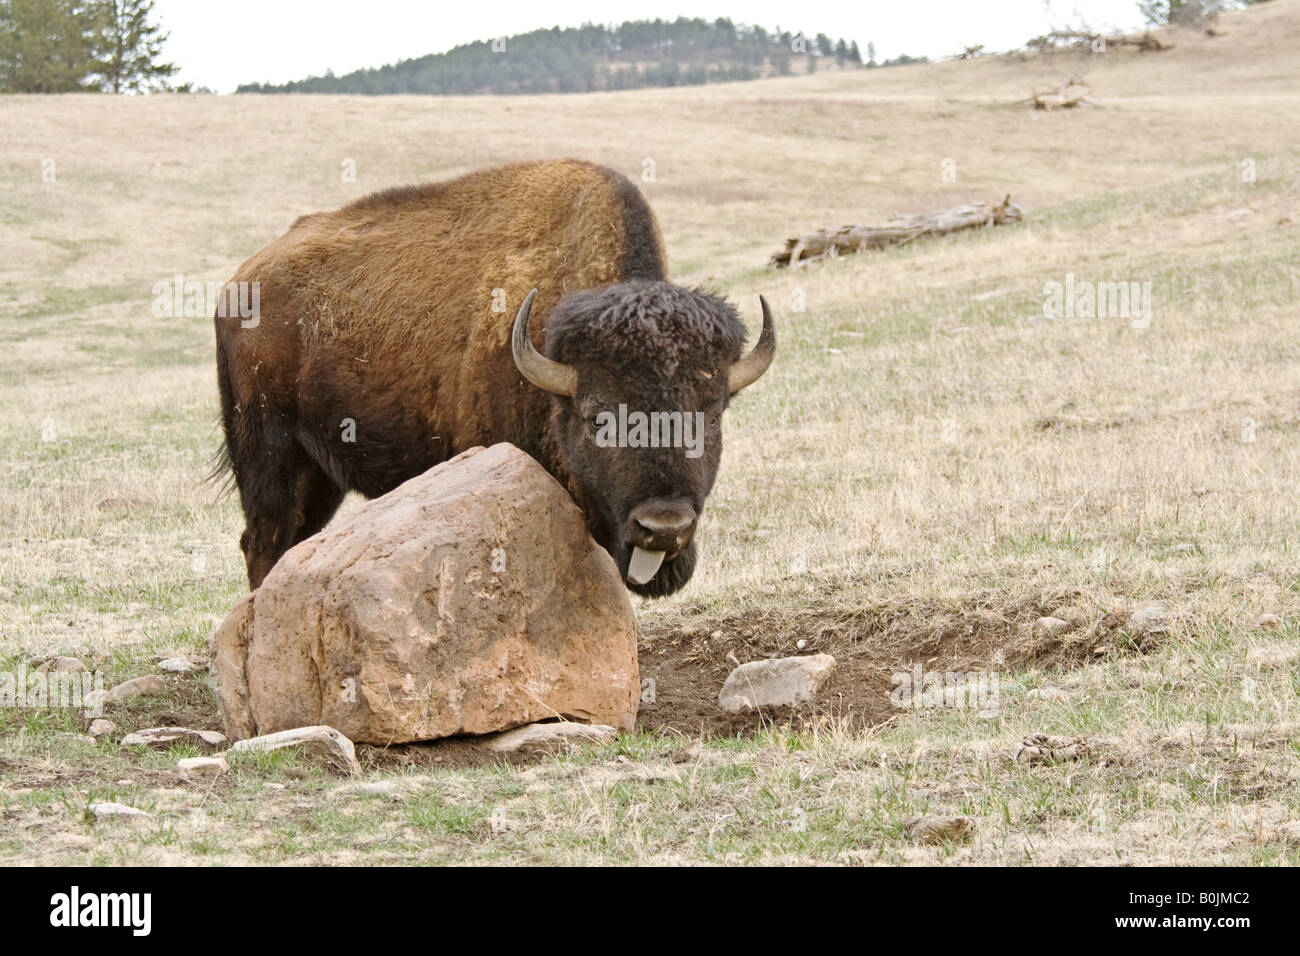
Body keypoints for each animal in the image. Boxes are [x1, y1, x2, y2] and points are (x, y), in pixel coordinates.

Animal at [214, 159, 775, 597]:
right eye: (598, 417)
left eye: (712, 413)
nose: (664, 527)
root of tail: (239, 283)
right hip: (267, 454)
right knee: (263, 540)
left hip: (320, 473)